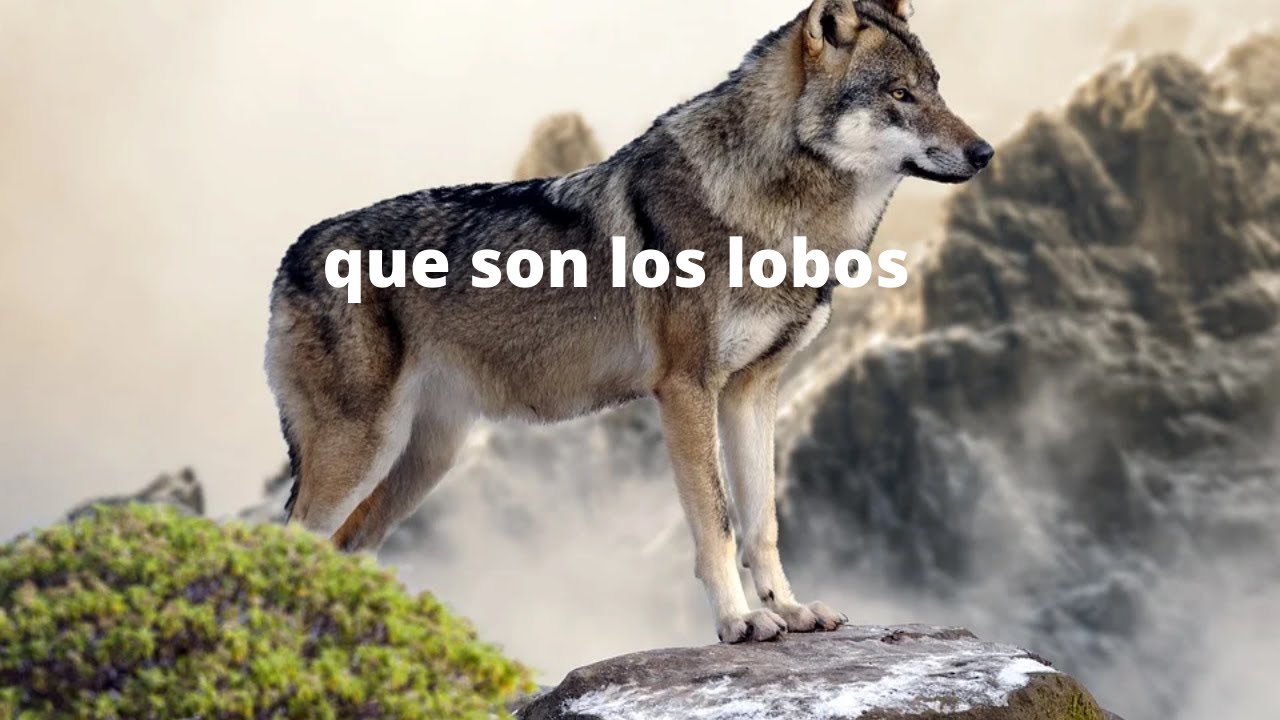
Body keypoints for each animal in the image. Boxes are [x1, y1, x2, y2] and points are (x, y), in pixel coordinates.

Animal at [266, 0, 992, 643]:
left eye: (936, 88)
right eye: (900, 94)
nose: (984, 152)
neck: (774, 214)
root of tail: (290, 254)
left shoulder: (753, 391)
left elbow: (763, 522)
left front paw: (790, 610)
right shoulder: (687, 390)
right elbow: (718, 523)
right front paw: (740, 623)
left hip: (423, 460)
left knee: (346, 546)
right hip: (362, 450)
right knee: (285, 543)